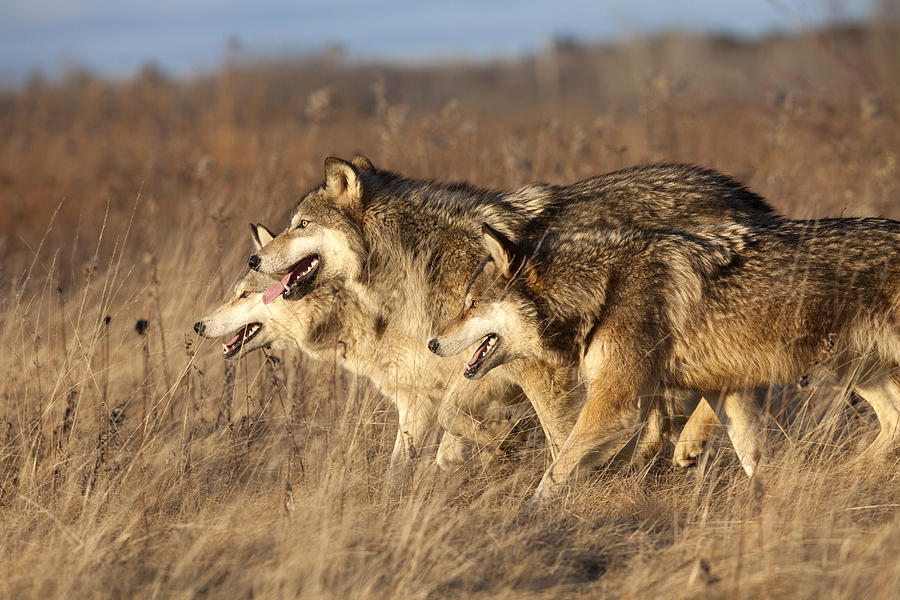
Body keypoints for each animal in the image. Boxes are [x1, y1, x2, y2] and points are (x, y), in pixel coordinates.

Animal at [194, 224, 527, 469]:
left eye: (244, 295)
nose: (199, 325)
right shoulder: (415, 403)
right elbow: (398, 470)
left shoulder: (483, 375)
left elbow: (450, 443)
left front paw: (501, 445)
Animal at [246, 156, 780, 461]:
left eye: (300, 224)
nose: (253, 258)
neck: (420, 256)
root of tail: (750, 199)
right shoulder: (474, 365)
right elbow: (447, 422)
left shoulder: (539, 370)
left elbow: (558, 436)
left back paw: (686, 446)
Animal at [429, 219, 900, 506]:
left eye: (471, 305)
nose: (432, 343)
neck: (602, 290)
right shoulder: (728, 389)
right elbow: (752, 458)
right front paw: (762, 503)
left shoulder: (614, 404)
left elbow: (556, 471)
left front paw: (528, 516)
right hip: (856, 368)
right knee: (893, 422)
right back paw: (846, 476)